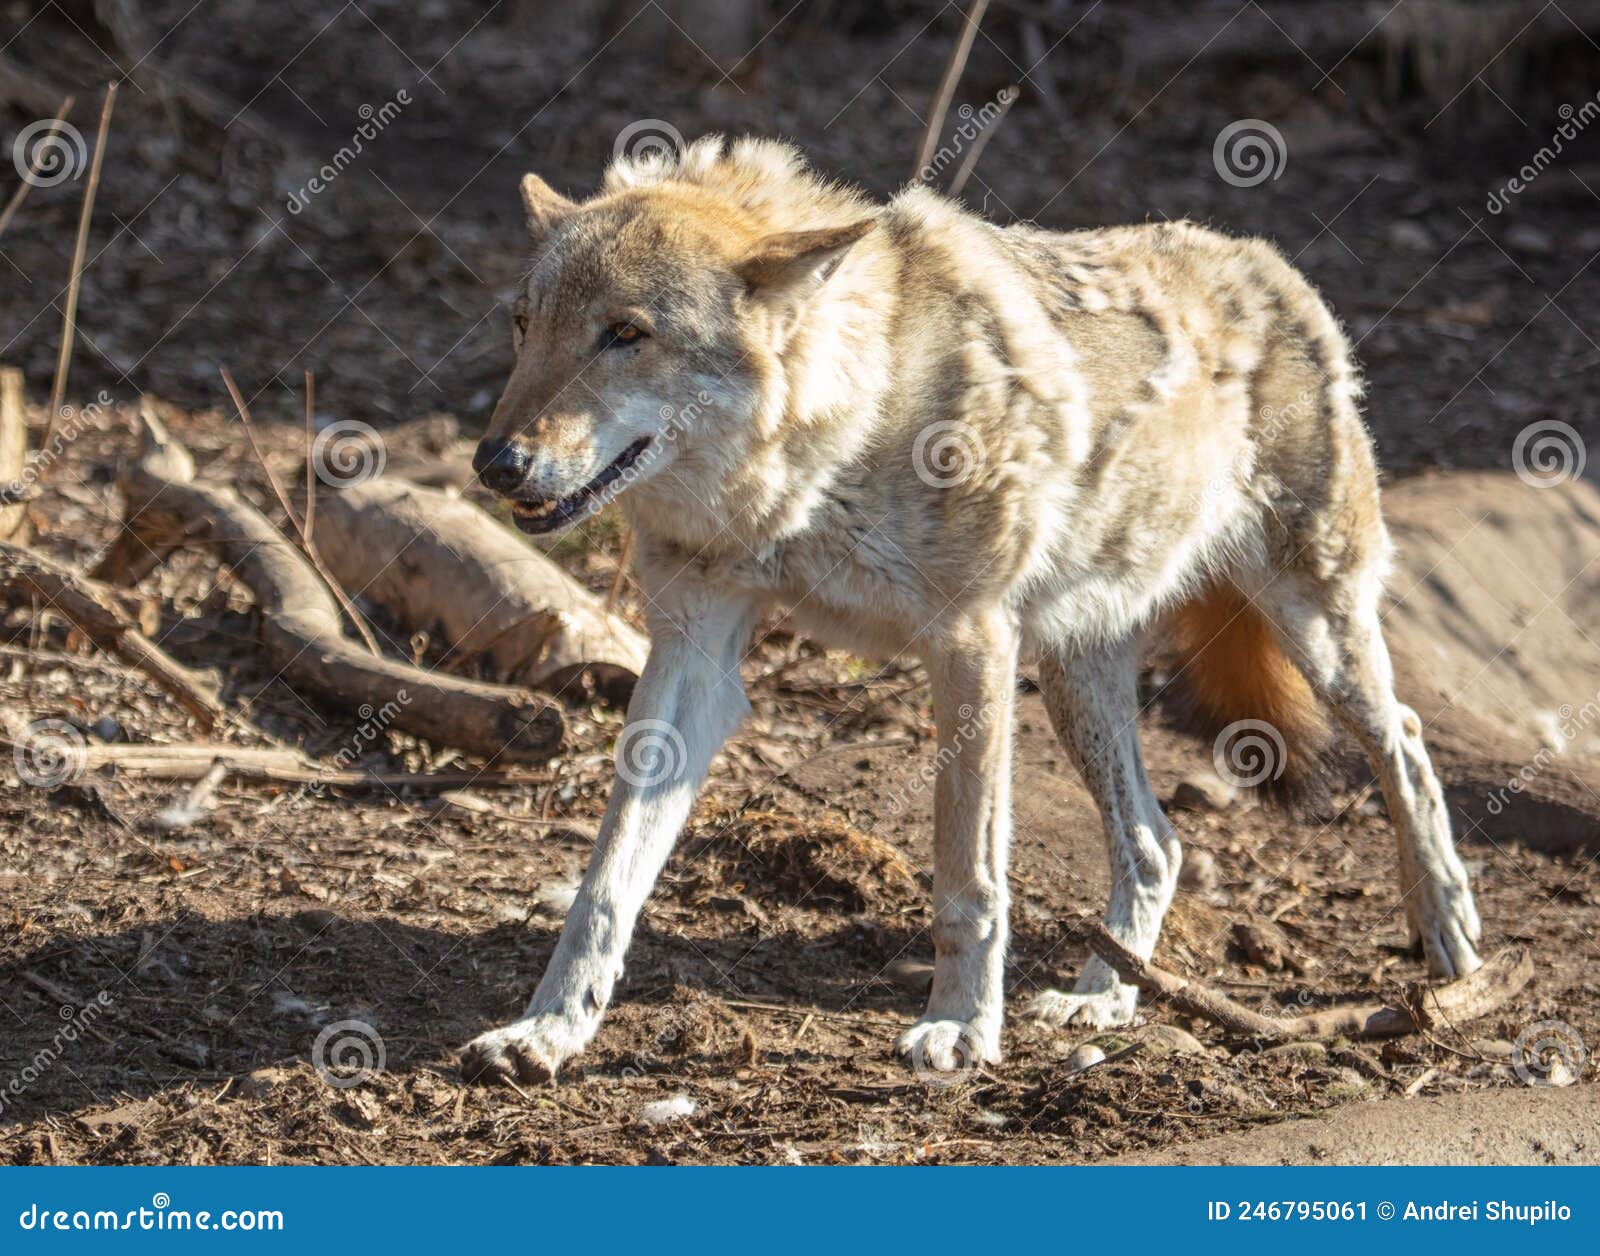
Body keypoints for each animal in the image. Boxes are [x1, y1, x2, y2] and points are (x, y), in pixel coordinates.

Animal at [460, 136, 1482, 1083]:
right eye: (524, 324)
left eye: (625, 334)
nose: (495, 462)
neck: (833, 438)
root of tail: (1273, 265)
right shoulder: (693, 655)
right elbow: (607, 880)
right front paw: (547, 1029)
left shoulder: (970, 644)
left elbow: (969, 879)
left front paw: (958, 1028)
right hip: (1076, 681)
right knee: (1157, 845)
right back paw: (1102, 1000)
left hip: (1312, 626)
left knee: (1406, 744)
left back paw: (1450, 942)